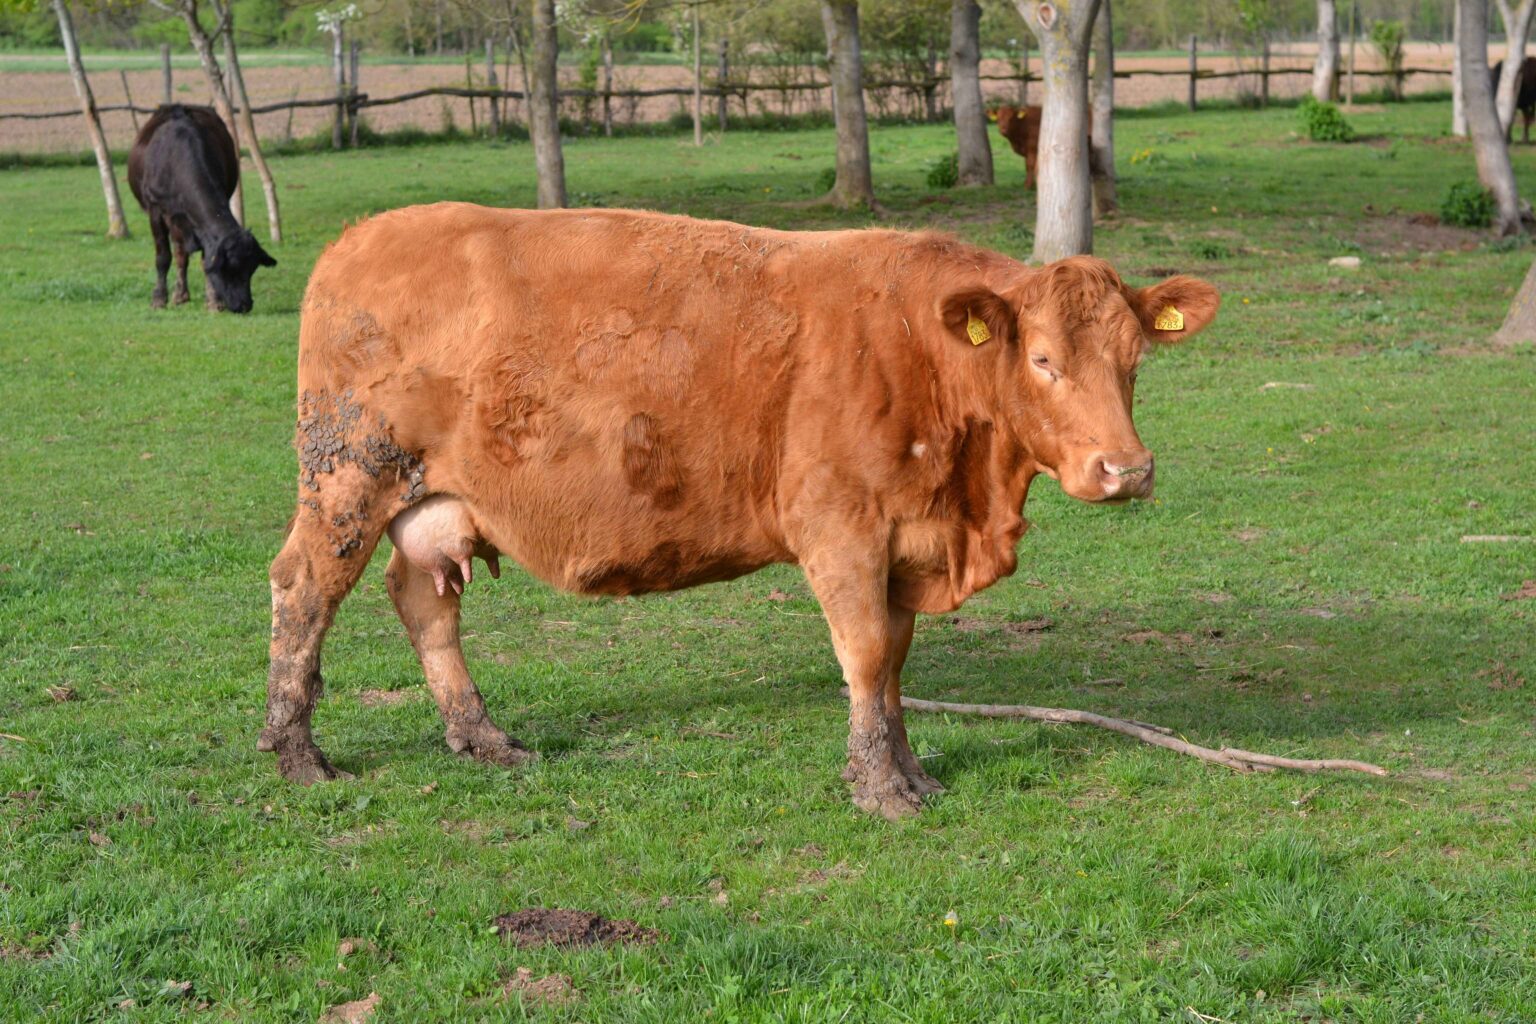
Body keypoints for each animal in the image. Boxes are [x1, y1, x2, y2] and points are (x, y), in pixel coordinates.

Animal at [127, 104, 275, 313]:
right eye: (228, 268)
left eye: (252, 269)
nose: (244, 305)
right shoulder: (155, 211)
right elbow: (163, 257)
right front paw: (158, 298)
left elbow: (205, 259)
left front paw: (213, 301)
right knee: (178, 253)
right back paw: (179, 295)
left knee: (181, 253)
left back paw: (181, 294)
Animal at [261, 204, 1219, 820]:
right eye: (1045, 360)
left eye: (1134, 359)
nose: (1126, 470)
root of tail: (363, 237)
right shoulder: (840, 530)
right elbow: (864, 656)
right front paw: (880, 790)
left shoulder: (904, 543)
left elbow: (895, 664)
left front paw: (911, 771)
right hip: (346, 481)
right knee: (303, 591)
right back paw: (298, 754)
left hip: (431, 500)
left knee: (424, 599)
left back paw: (482, 736)